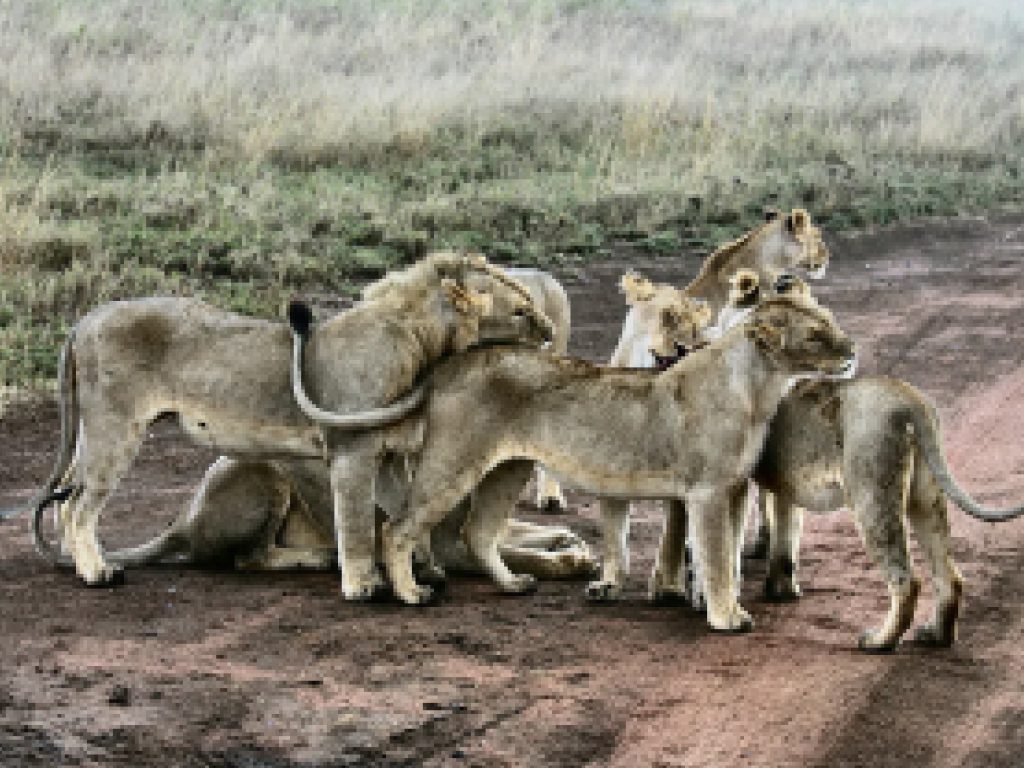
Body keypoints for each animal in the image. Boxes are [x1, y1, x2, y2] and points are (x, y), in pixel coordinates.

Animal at [24, 252, 554, 596]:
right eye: (521, 309)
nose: (551, 333)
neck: (422, 346)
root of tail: (87, 318)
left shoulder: (383, 455)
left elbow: (402, 510)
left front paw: (420, 569)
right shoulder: (352, 451)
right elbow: (356, 521)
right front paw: (363, 584)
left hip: (94, 432)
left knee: (66, 496)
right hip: (116, 427)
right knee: (79, 505)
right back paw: (96, 573)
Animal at [357, 294, 857, 633]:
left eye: (830, 322)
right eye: (815, 335)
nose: (852, 349)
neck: (759, 387)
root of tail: (450, 363)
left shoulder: (733, 489)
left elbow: (728, 558)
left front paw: (724, 605)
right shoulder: (709, 491)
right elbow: (716, 558)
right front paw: (726, 618)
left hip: (509, 468)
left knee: (476, 533)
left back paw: (514, 584)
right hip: (454, 460)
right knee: (398, 527)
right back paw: (412, 593)